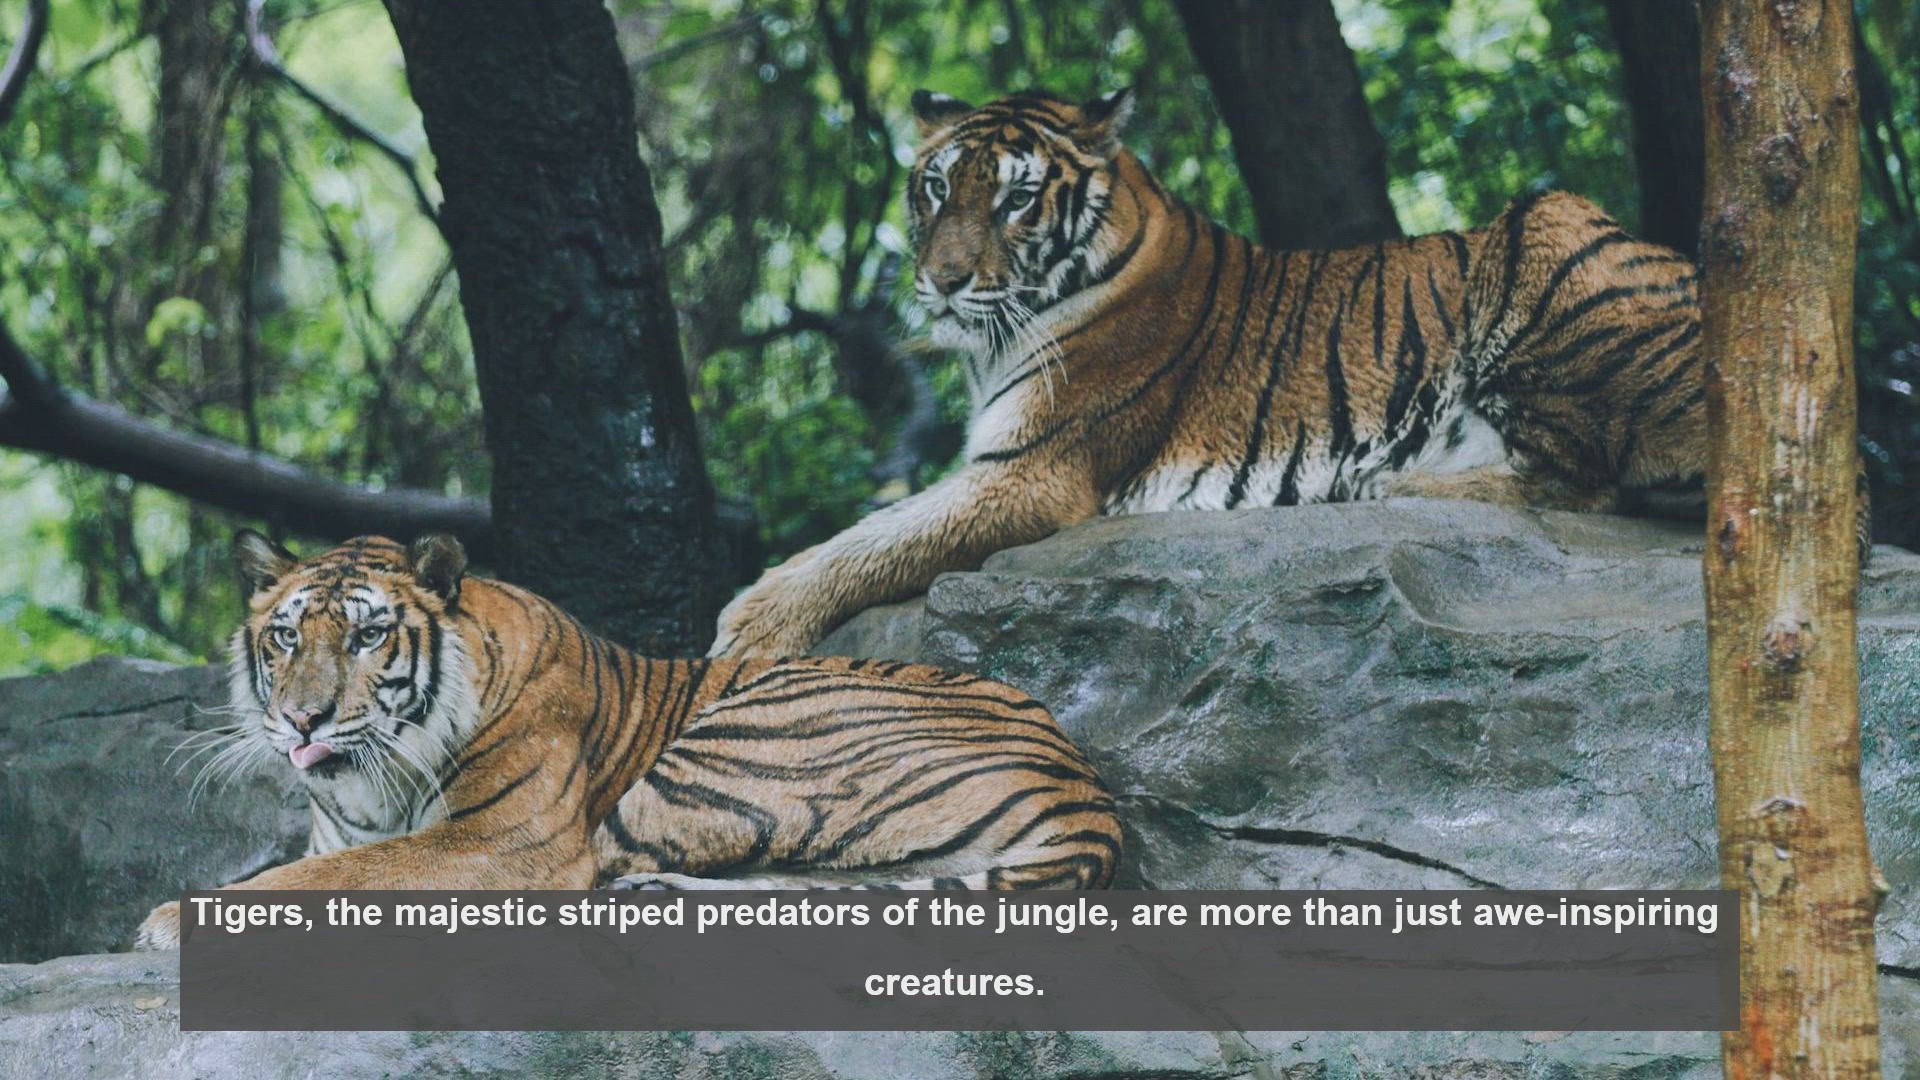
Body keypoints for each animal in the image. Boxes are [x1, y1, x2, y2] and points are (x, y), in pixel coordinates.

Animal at [134, 531, 1120, 949]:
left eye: (369, 636)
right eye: (285, 638)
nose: (302, 719)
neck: (369, 781)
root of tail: (1091, 796)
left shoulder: (505, 842)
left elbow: (332, 876)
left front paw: (169, 919)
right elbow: (315, 865)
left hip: (724, 747)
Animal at [708, 86, 1843, 658]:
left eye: (1018, 199)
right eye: (936, 188)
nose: (940, 283)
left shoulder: (1032, 469)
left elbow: (871, 538)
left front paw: (743, 628)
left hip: (1548, 233)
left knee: (1593, 479)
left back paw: (1393, 480)